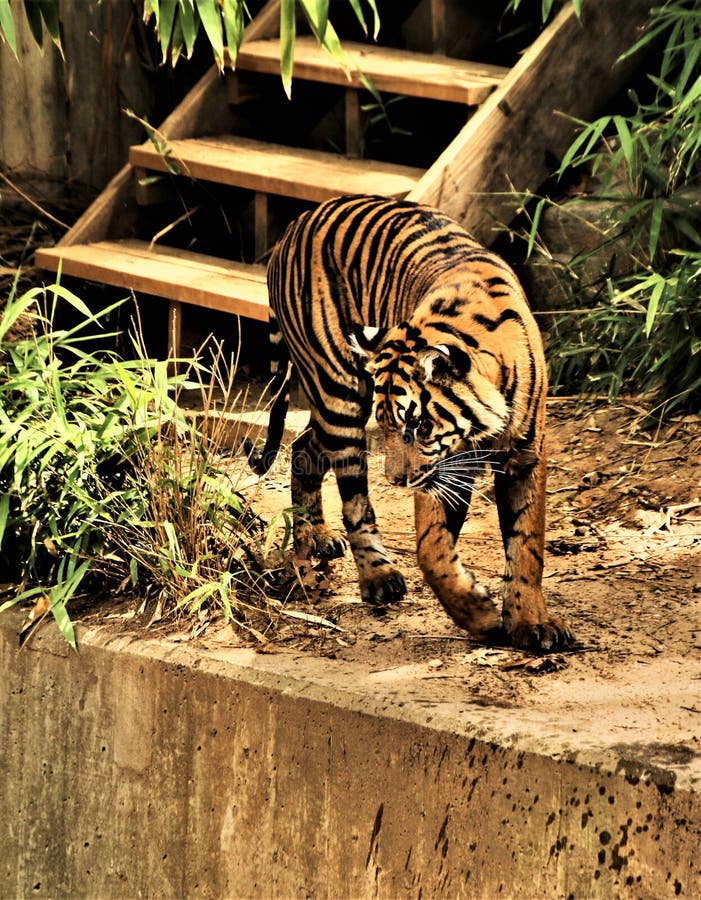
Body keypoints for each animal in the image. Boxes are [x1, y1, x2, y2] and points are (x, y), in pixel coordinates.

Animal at [245, 194, 573, 652]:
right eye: (388, 426)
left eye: (417, 426)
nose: (397, 481)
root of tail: (296, 222)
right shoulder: (444, 470)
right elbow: (432, 552)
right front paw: (479, 615)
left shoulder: (524, 458)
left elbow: (528, 544)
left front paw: (531, 622)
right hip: (338, 391)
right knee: (353, 495)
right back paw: (376, 576)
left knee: (303, 447)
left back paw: (318, 539)